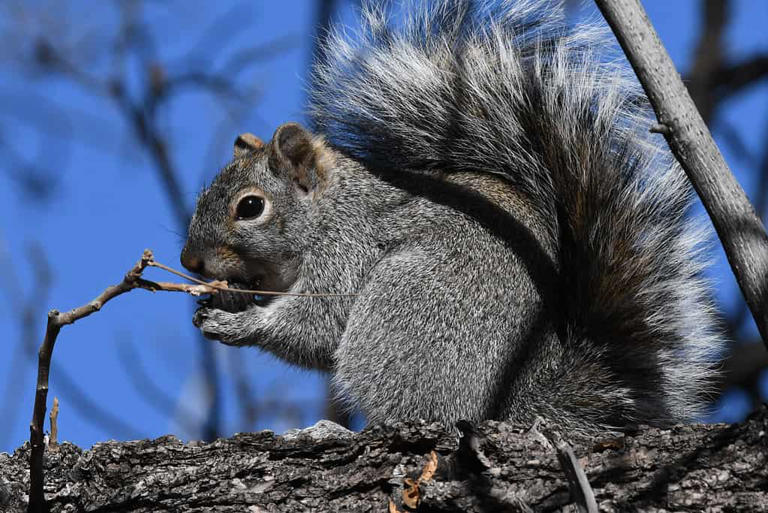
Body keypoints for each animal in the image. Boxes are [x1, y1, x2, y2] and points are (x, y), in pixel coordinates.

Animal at [181, 0, 722, 434]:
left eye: (251, 207)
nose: (190, 262)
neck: (330, 210)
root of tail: (520, 402)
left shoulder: (347, 250)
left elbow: (316, 326)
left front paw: (240, 324)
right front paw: (224, 301)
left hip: (406, 312)